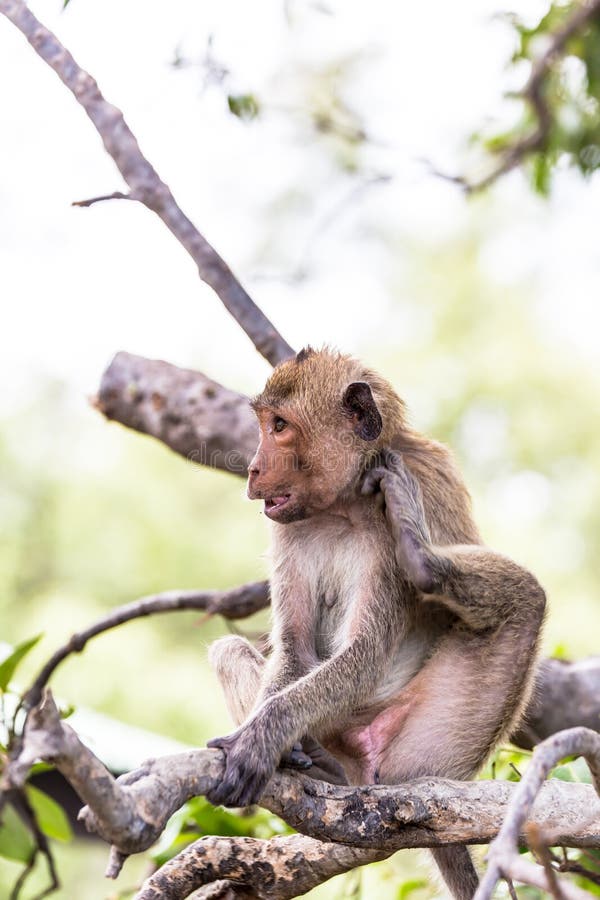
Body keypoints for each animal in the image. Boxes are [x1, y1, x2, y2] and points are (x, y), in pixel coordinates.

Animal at [206, 346, 546, 899]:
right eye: (265, 424)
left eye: (279, 426)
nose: (254, 469)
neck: (343, 504)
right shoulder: (288, 527)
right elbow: (294, 646)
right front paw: (272, 740)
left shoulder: (386, 501)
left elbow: (365, 652)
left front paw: (262, 739)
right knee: (230, 651)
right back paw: (313, 762)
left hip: (427, 749)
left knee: (528, 599)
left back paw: (424, 559)